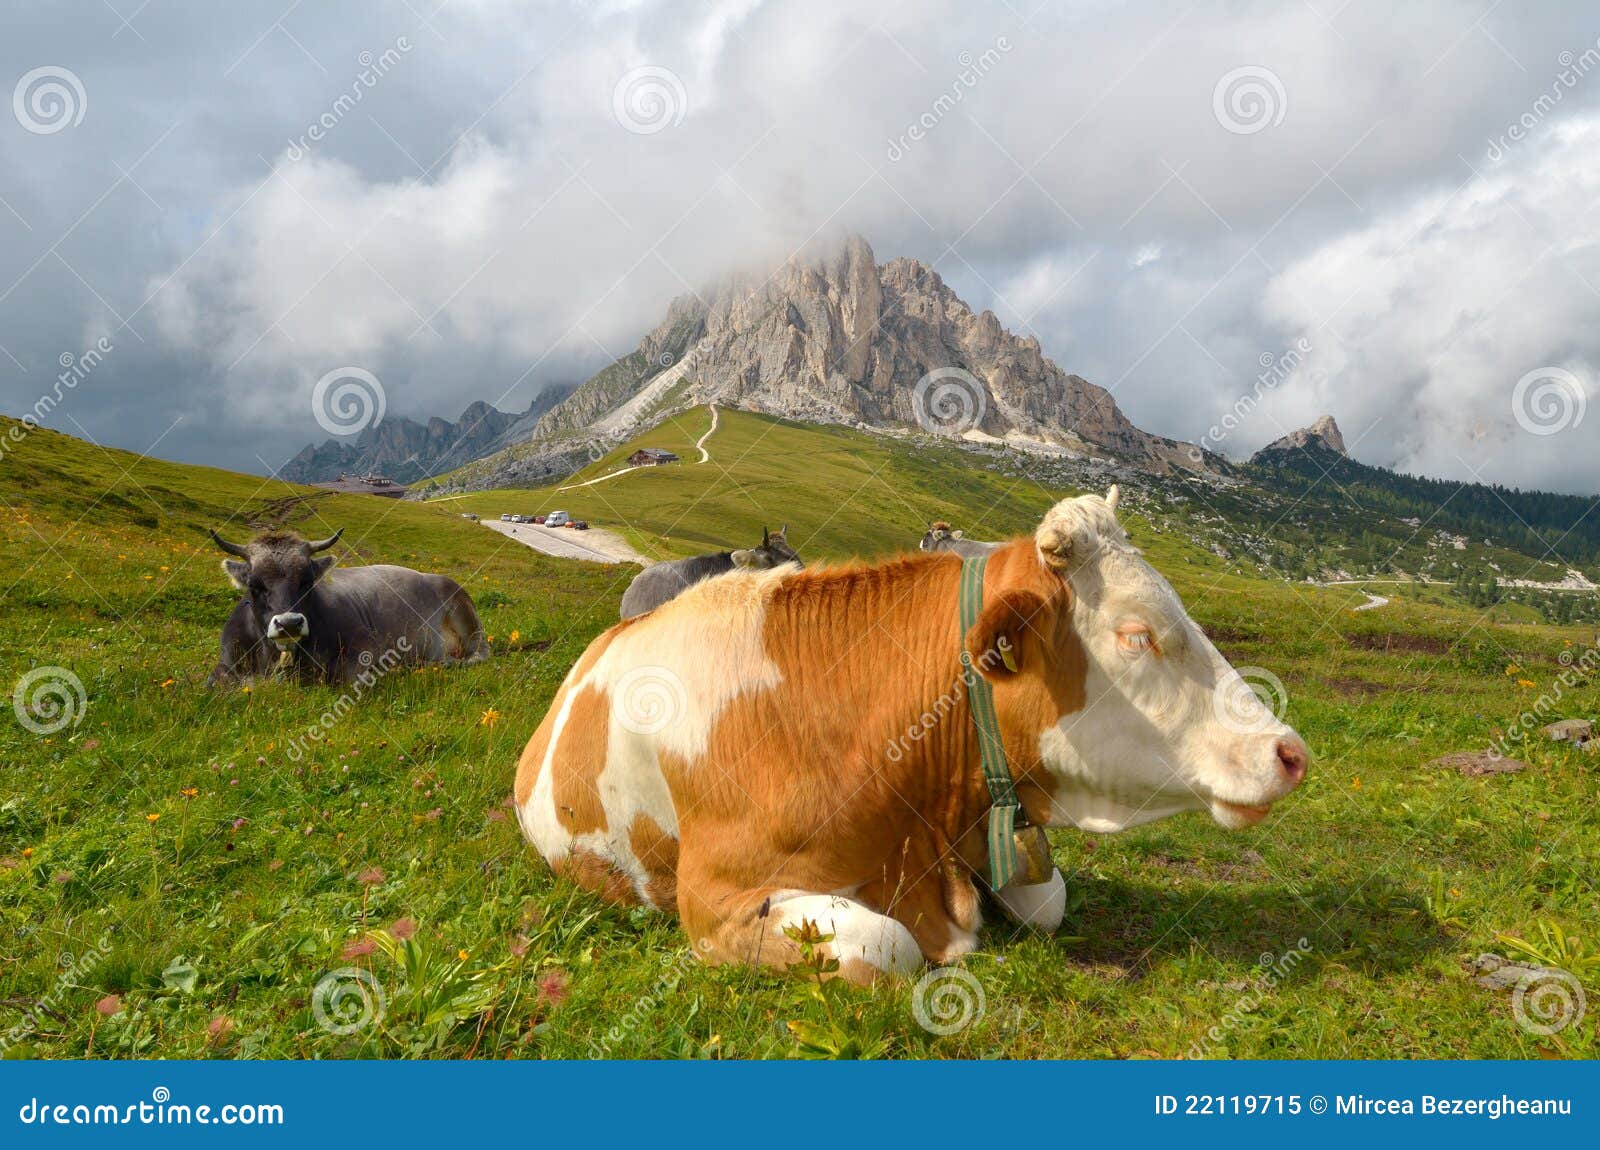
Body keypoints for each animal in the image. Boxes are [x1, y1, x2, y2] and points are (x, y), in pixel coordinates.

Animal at [206, 527, 490, 684]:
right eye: (255, 585)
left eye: (307, 581)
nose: (289, 623)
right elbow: (215, 680)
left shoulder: (366, 648)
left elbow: (345, 677)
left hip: (466, 618)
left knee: (479, 654)